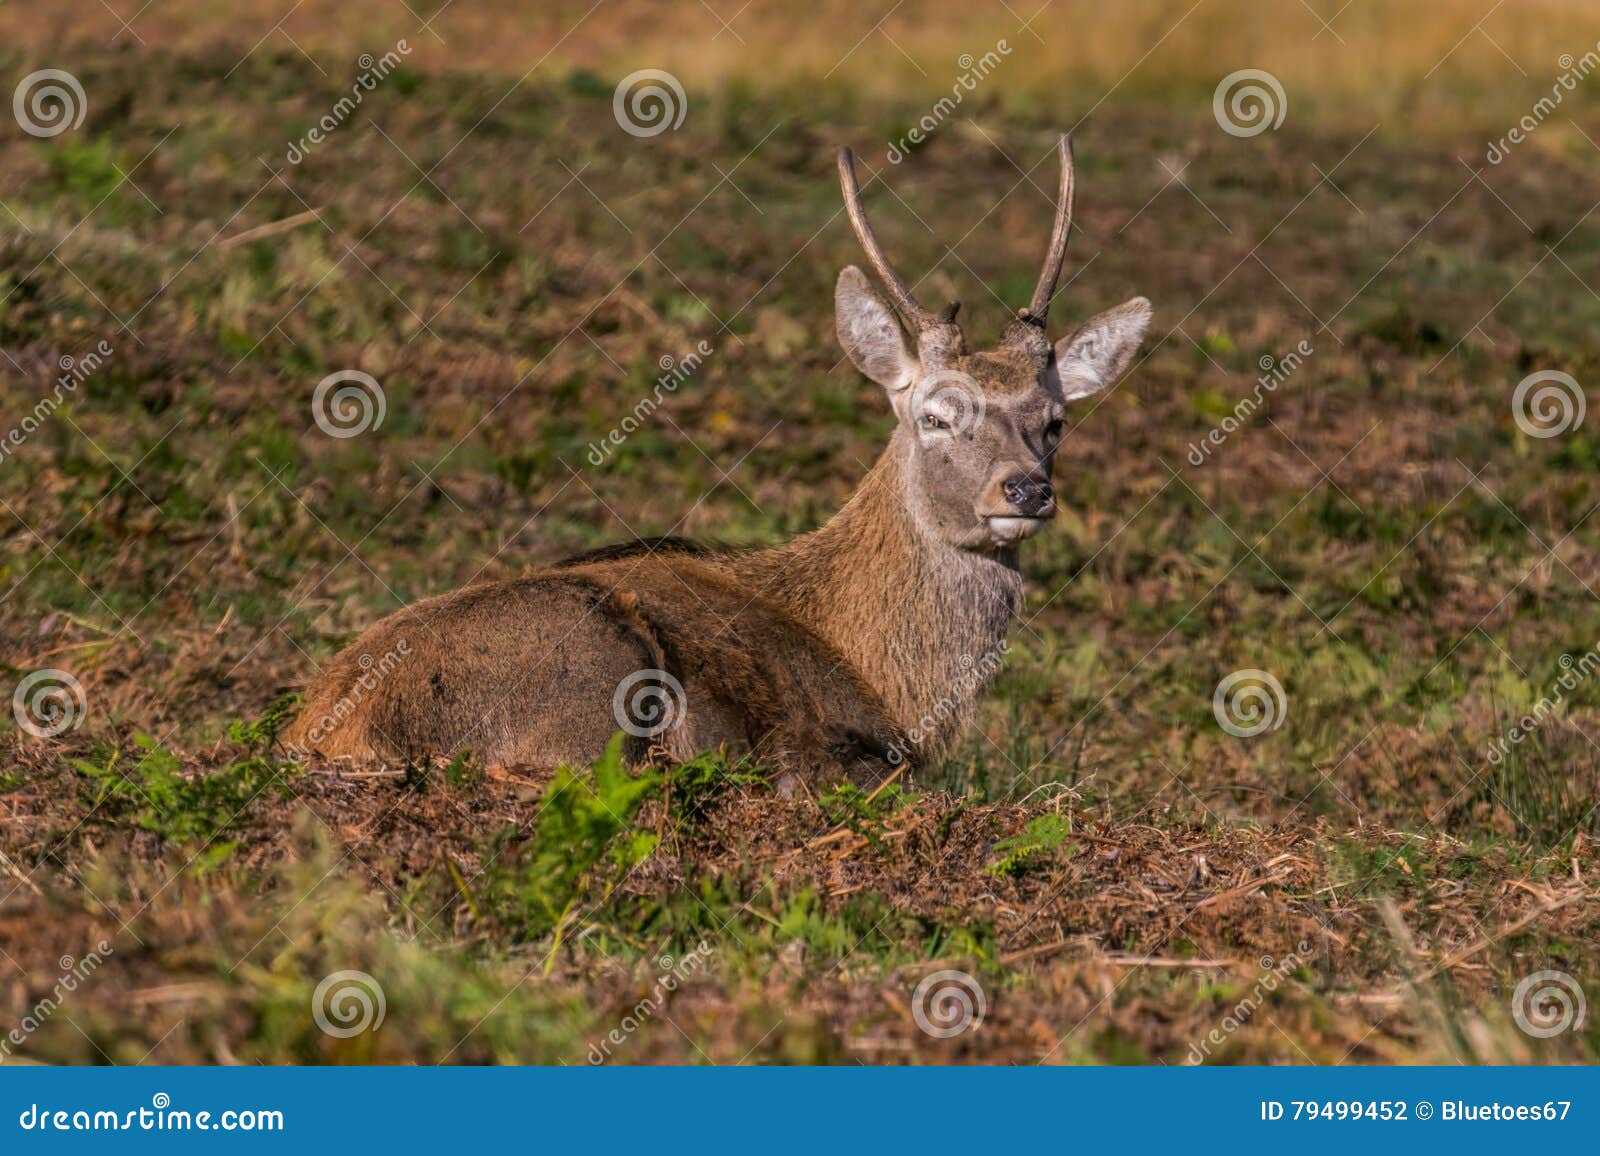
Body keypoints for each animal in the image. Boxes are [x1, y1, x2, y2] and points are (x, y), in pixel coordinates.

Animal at [285, 135, 1152, 784]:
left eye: (1055, 422)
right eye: (935, 416)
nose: (1026, 490)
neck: (888, 679)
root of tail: (322, 727)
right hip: (588, 670)